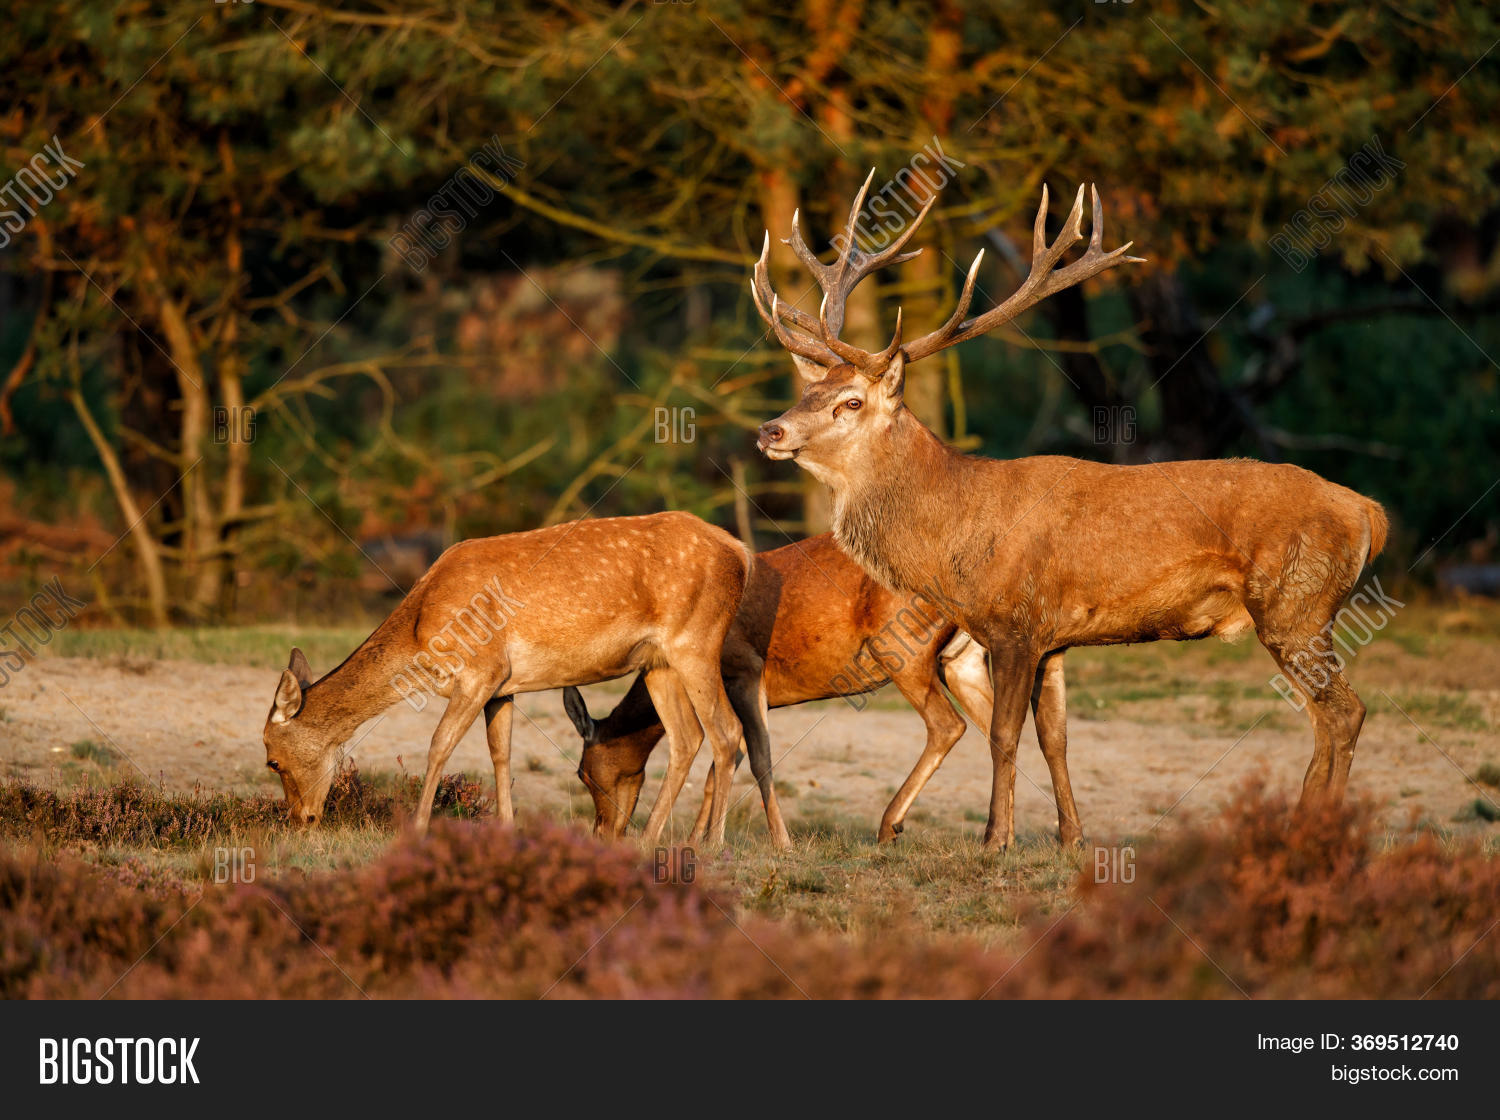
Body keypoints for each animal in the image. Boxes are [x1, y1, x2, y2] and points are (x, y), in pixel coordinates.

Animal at [261, 511, 755, 846]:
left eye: (273, 761)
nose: (300, 820)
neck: (423, 633)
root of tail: (741, 552)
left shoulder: (481, 670)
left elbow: (439, 745)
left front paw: (417, 828)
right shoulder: (503, 687)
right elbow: (501, 753)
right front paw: (506, 827)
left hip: (695, 641)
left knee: (727, 732)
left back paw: (710, 845)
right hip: (658, 663)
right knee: (687, 736)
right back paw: (650, 839)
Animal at [561, 532, 1081, 848]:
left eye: (585, 773)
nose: (603, 833)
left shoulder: (744, 671)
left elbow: (749, 755)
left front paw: (766, 842)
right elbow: (722, 760)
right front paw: (698, 839)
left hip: (904, 651)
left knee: (948, 725)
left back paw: (890, 826)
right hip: (963, 658)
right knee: (1015, 728)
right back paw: (1042, 836)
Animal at [752, 172, 1389, 850]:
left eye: (850, 401)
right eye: (808, 389)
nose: (769, 431)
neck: (955, 541)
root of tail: (1369, 512)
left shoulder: (1016, 623)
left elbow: (1005, 735)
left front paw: (995, 840)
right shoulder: (1054, 638)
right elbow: (1054, 736)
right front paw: (1070, 837)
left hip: (1296, 604)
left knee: (1344, 712)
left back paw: (1317, 831)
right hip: (1302, 612)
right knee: (1323, 717)